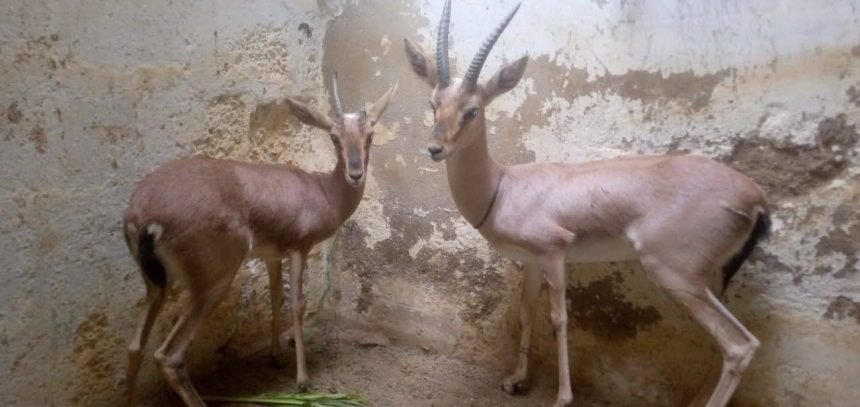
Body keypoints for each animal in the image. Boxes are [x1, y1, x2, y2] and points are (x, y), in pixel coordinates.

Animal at [121, 74, 396, 406]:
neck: (323, 193)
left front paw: (276, 355)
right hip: (213, 284)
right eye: (333, 136)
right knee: (168, 356)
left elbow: (277, 296)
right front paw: (302, 380)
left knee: (135, 347)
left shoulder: (271, 255)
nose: (355, 174)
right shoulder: (299, 248)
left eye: (370, 134)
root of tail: (143, 215)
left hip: (156, 286)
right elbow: (297, 304)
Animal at [404, 1, 770, 406]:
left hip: (675, 275)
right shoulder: (532, 263)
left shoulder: (554, 253)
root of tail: (755, 197)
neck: (501, 188)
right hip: (709, 279)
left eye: (471, 110)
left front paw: (562, 396)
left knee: (739, 345)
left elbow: (558, 319)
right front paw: (515, 381)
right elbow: (526, 313)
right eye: (433, 103)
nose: (435, 148)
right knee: (722, 344)